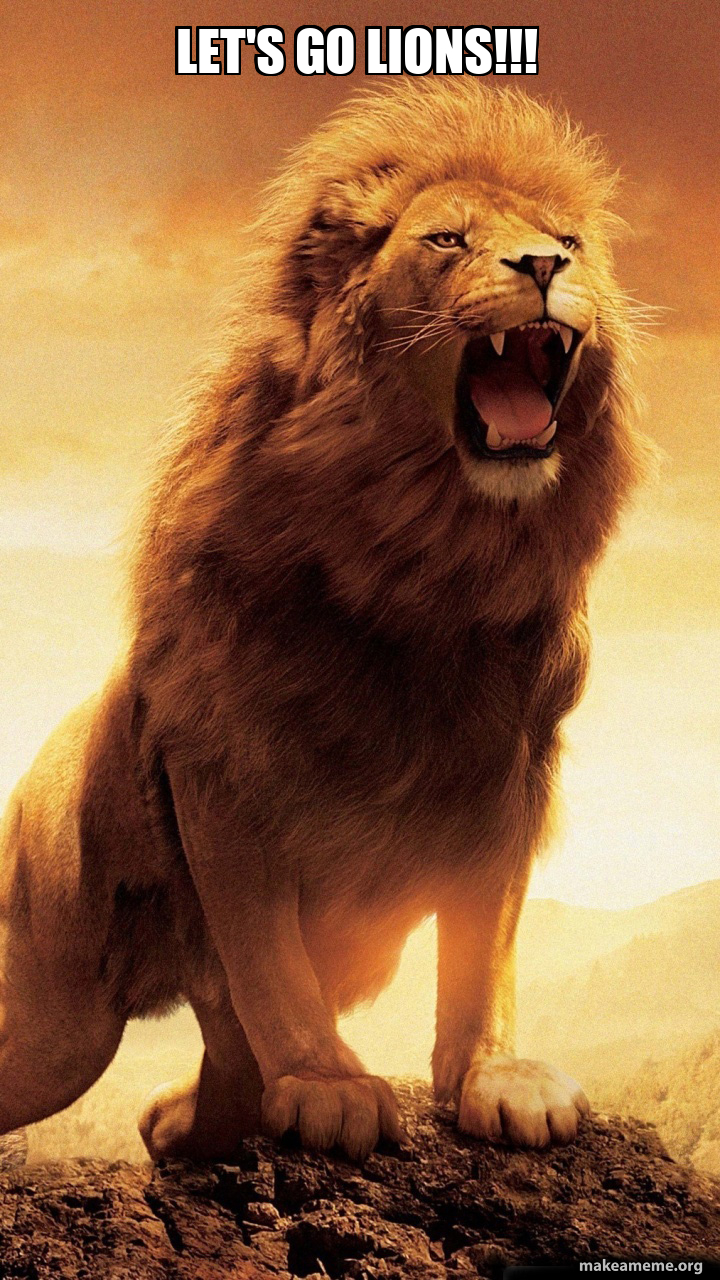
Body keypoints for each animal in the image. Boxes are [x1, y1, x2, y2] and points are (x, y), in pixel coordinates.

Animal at [0, 80, 648, 1163]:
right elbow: (266, 957)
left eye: (567, 239)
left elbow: (484, 951)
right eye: (448, 239)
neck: (428, 557)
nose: (545, 267)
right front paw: (328, 1082)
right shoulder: (223, 767)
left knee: (217, 1057)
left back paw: (186, 1121)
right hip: (56, 1016)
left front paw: (495, 1077)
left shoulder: (507, 770)